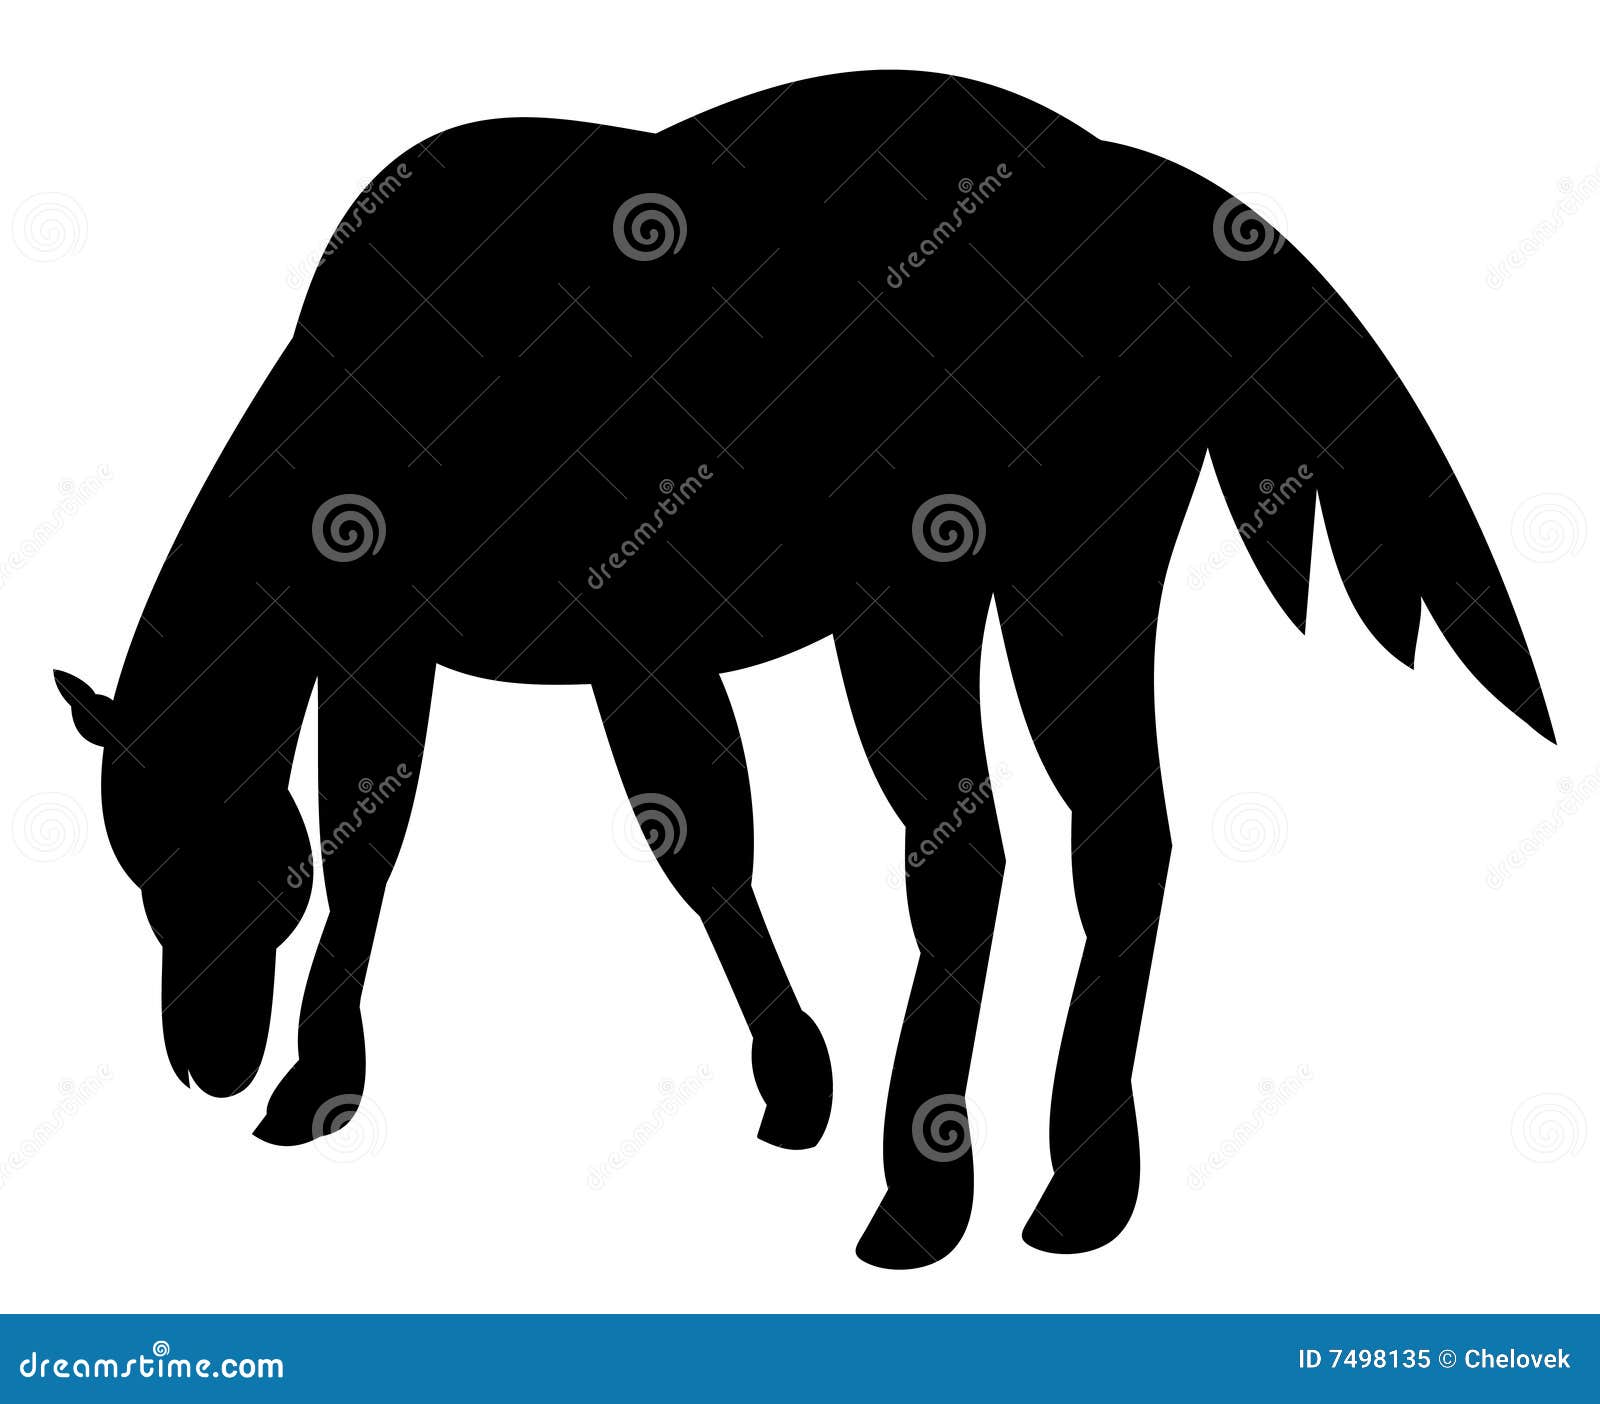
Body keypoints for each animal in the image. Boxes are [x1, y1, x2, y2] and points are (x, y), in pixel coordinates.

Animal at [56, 70, 1551, 1268]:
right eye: (138, 873)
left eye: (250, 870)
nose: (204, 1064)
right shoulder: (568, 652)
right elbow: (667, 843)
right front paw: (791, 1082)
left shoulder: (465, 641)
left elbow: (421, 835)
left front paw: (321, 1081)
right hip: (1075, 580)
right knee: (1117, 837)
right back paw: (1081, 1190)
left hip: (934, 592)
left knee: (969, 854)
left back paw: (928, 1198)